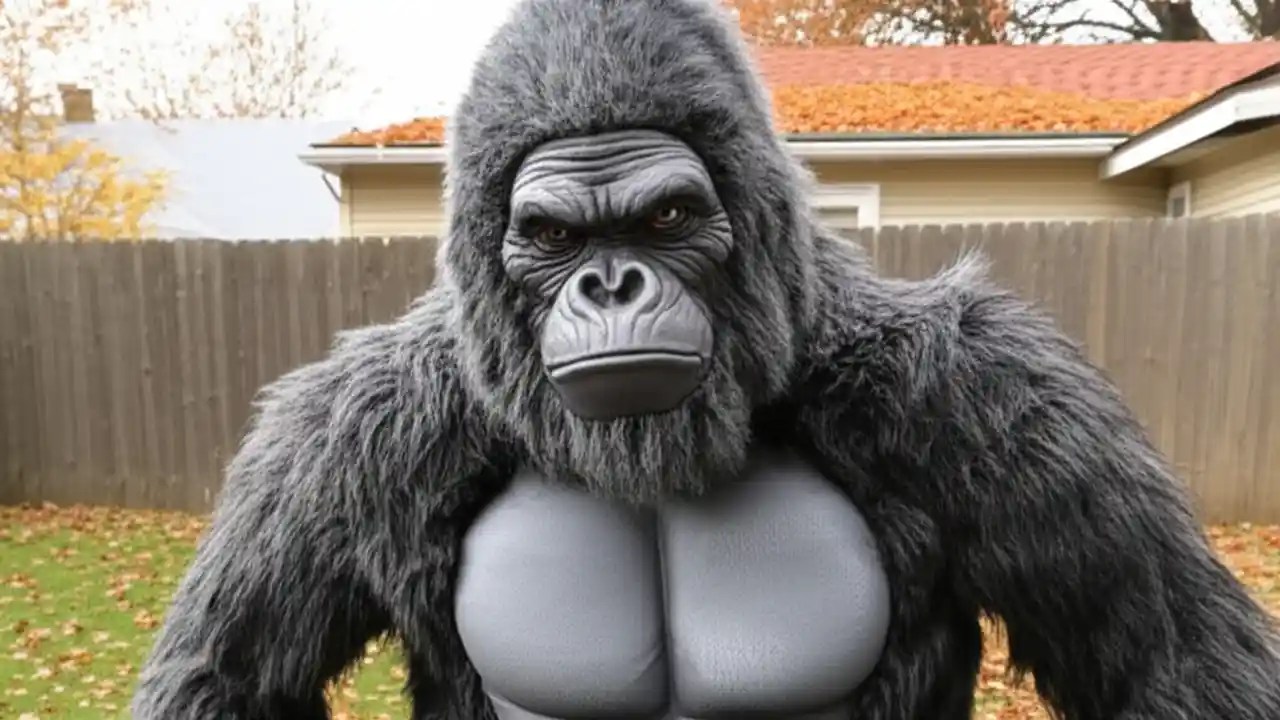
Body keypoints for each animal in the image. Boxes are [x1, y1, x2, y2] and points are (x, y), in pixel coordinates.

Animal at [132, 1, 1280, 718]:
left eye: (668, 217)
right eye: (553, 236)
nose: (611, 285)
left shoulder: (980, 391)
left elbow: (1171, 666)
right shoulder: (343, 440)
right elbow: (228, 677)